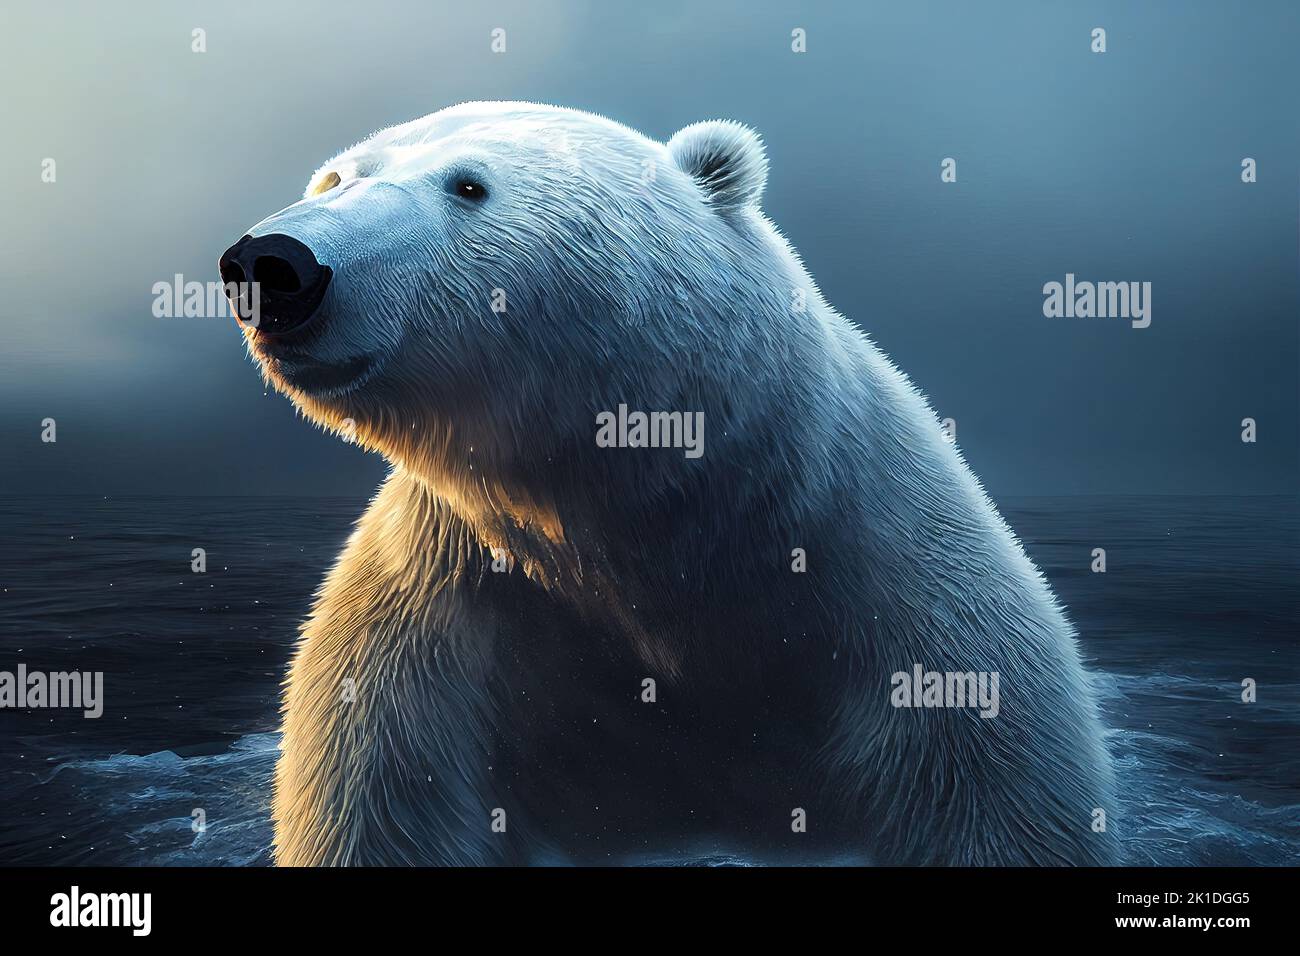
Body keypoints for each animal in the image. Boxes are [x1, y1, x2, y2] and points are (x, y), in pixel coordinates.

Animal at [219, 101, 1118, 866]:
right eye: (337, 177)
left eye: (469, 185)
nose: (273, 263)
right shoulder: (437, 613)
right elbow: (385, 803)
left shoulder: (908, 599)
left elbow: (999, 796)